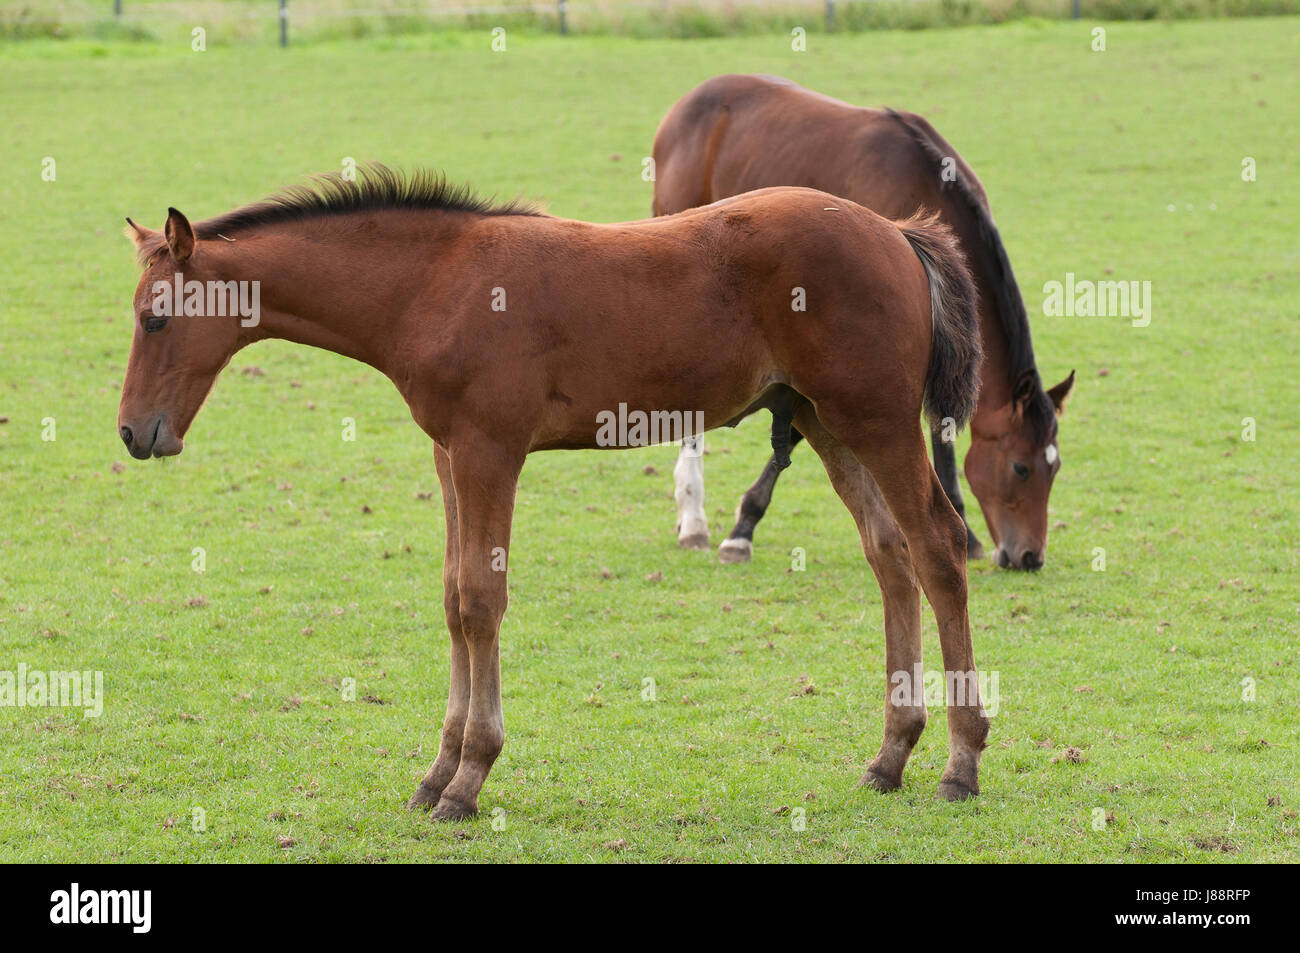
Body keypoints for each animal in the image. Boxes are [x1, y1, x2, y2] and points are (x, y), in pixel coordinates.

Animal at [118, 165, 989, 818]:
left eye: (156, 319)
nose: (132, 433)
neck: (433, 283)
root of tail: (897, 234)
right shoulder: (449, 454)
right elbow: (451, 597)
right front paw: (436, 772)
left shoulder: (490, 450)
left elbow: (480, 599)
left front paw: (469, 779)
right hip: (822, 418)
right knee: (890, 555)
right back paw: (890, 755)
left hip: (875, 420)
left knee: (939, 549)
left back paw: (960, 762)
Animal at [653, 74, 1075, 571]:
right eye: (1020, 467)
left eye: (1054, 467)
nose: (1029, 555)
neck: (923, 185)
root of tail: (694, 98)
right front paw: (742, 528)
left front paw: (966, 532)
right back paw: (693, 515)